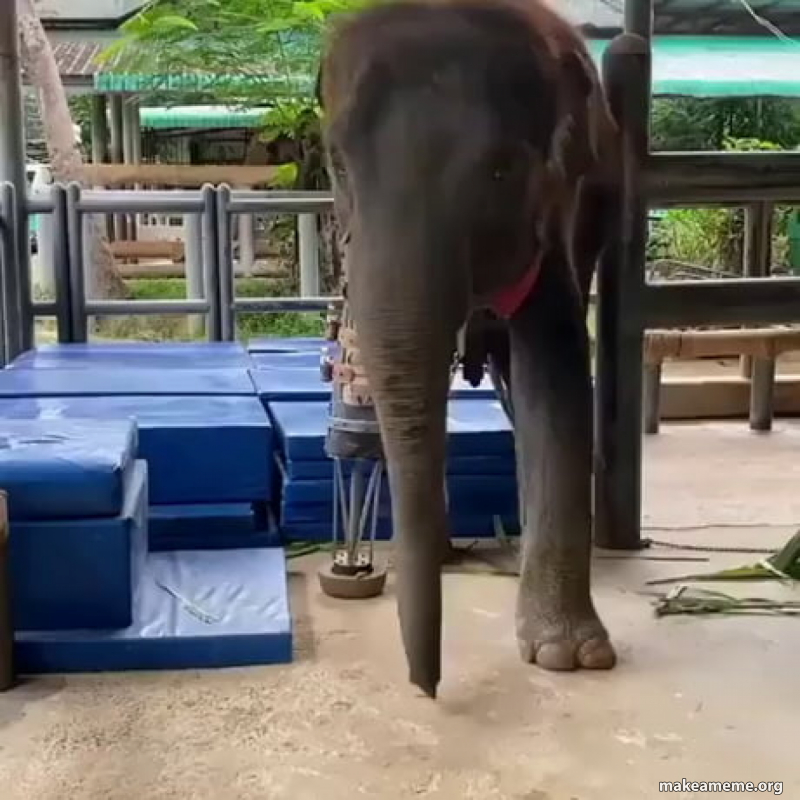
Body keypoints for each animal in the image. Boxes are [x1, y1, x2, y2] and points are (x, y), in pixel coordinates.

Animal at [317, 0, 623, 699]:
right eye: (339, 165)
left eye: (502, 171)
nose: (426, 688)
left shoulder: (556, 212)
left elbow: (558, 374)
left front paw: (567, 655)